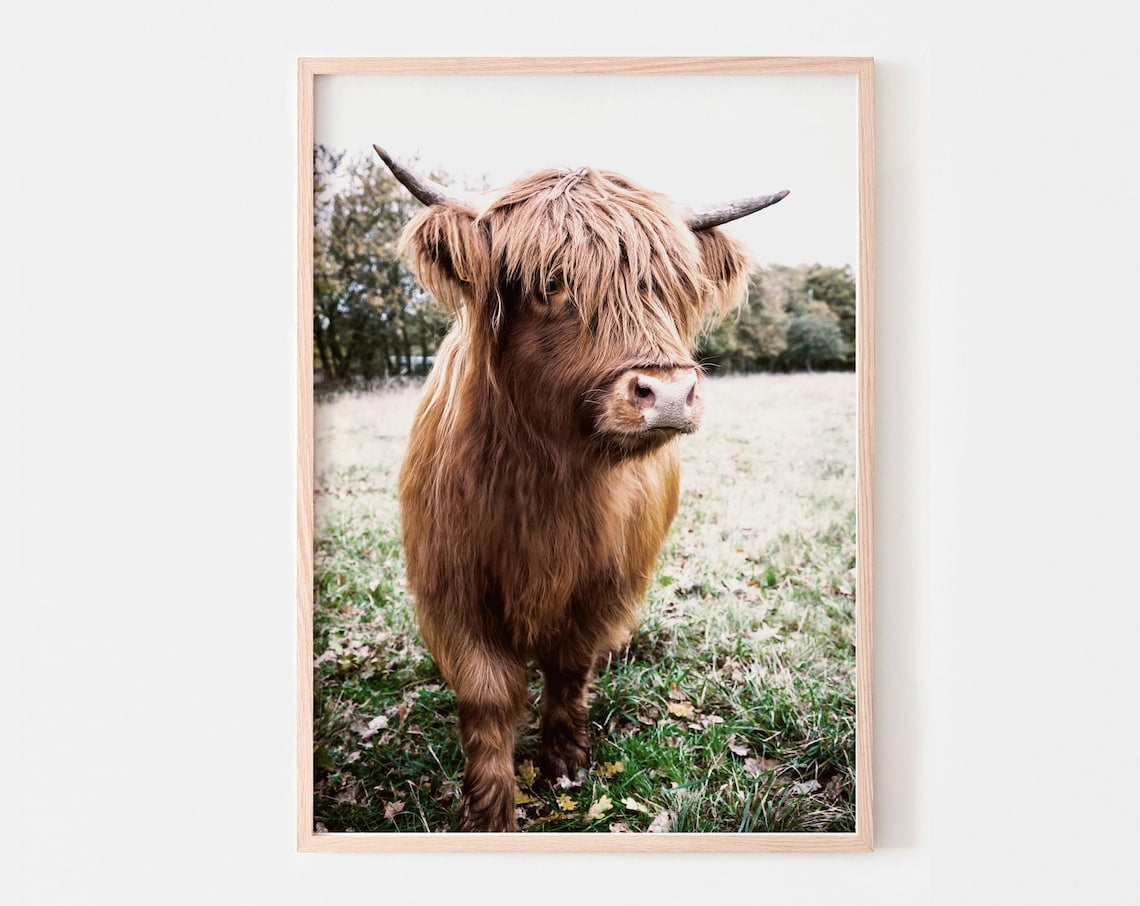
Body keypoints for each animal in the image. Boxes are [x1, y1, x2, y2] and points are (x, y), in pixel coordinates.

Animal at [373, 145, 787, 831]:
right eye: (550, 282)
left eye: (673, 284)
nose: (668, 393)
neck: (547, 483)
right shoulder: (451, 585)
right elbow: (488, 696)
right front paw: (490, 812)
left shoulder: (603, 581)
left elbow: (570, 665)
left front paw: (565, 759)